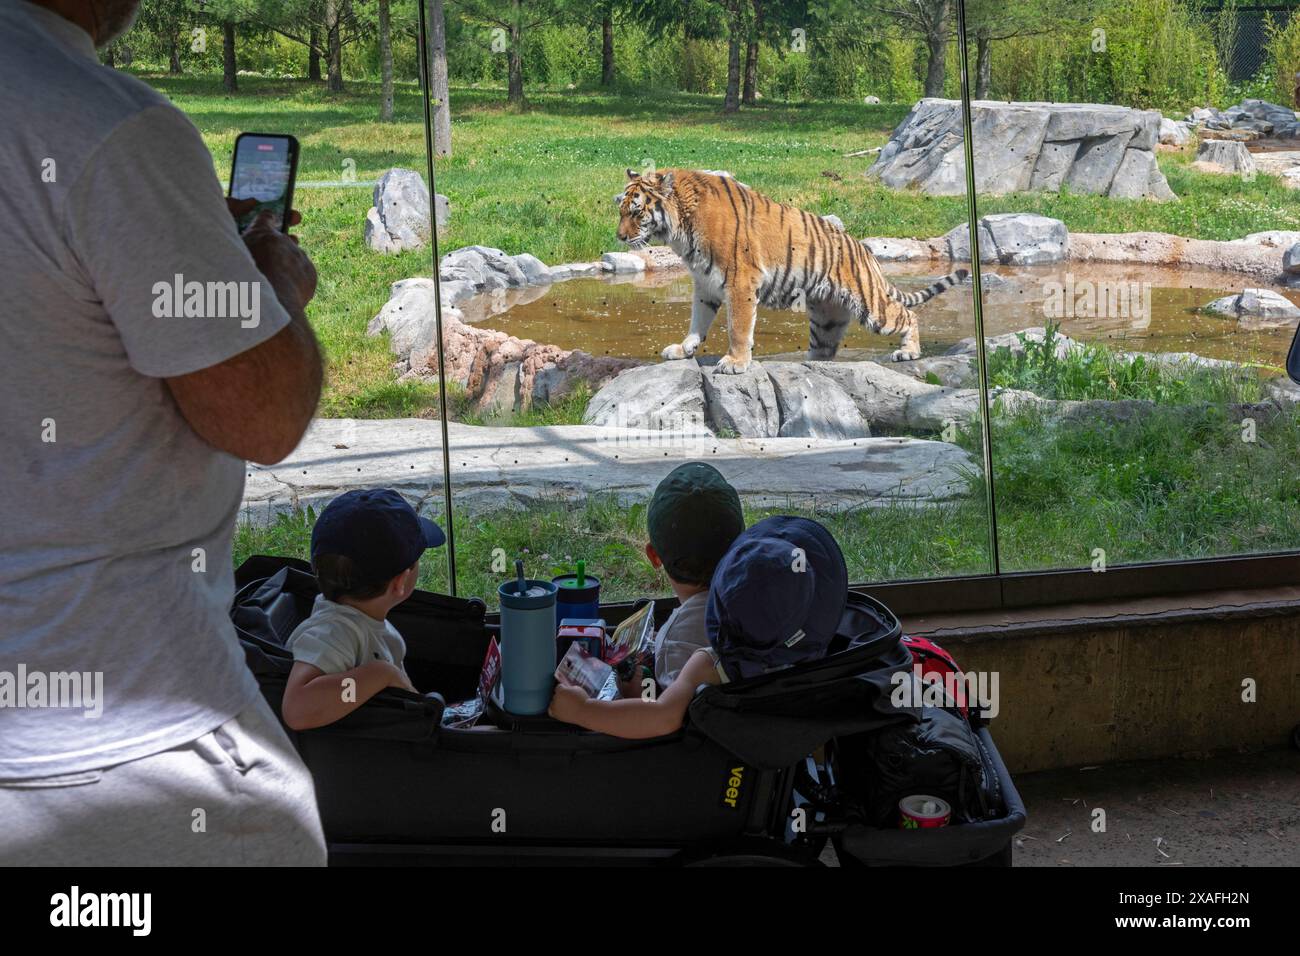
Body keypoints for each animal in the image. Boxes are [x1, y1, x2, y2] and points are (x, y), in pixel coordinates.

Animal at [614, 167, 968, 374]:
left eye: (637, 212)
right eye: (621, 210)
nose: (619, 237)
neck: (680, 229)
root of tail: (865, 251)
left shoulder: (741, 282)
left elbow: (738, 328)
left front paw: (735, 363)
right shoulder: (705, 284)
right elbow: (697, 322)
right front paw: (683, 349)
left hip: (871, 306)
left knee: (907, 315)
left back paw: (908, 353)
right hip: (827, 316)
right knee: (825, 349)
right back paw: (807, 366)